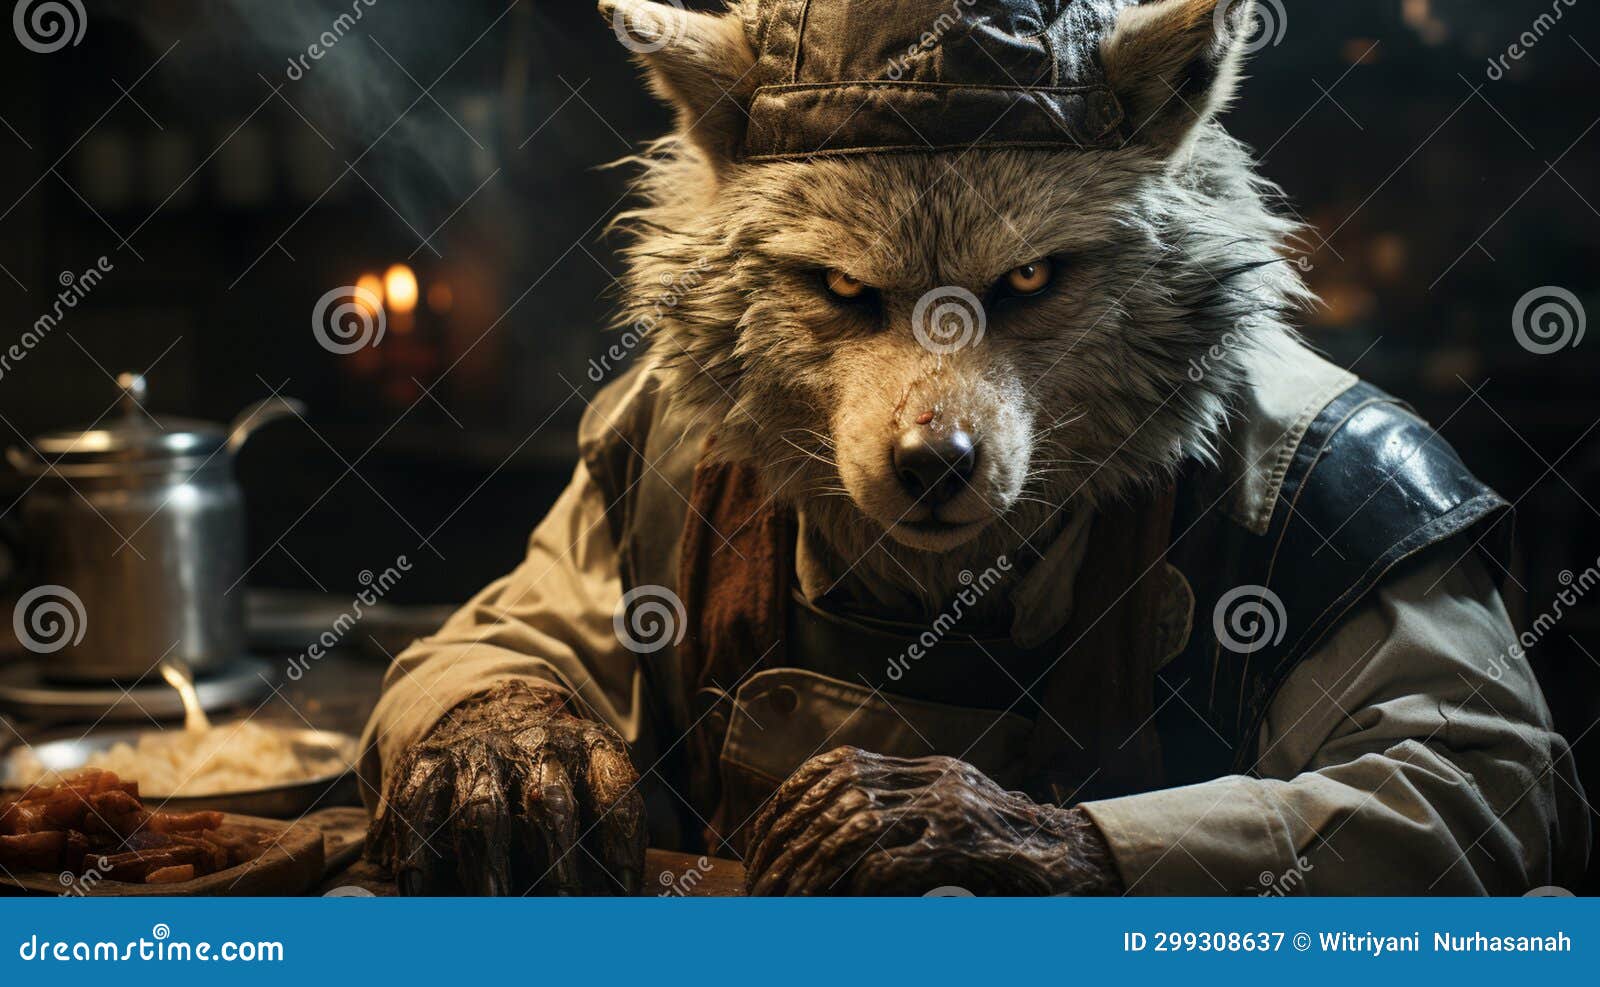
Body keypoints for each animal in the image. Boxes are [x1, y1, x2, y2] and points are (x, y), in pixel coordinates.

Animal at [363, 0, 1587, 896]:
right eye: (844, 289)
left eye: (1029, 278)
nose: (934, 465)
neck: (932, 598)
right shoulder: (606, 494)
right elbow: (500, 640)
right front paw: (510, 757)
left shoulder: (1375, 496)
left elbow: (1445, 763)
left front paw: (954, 823)